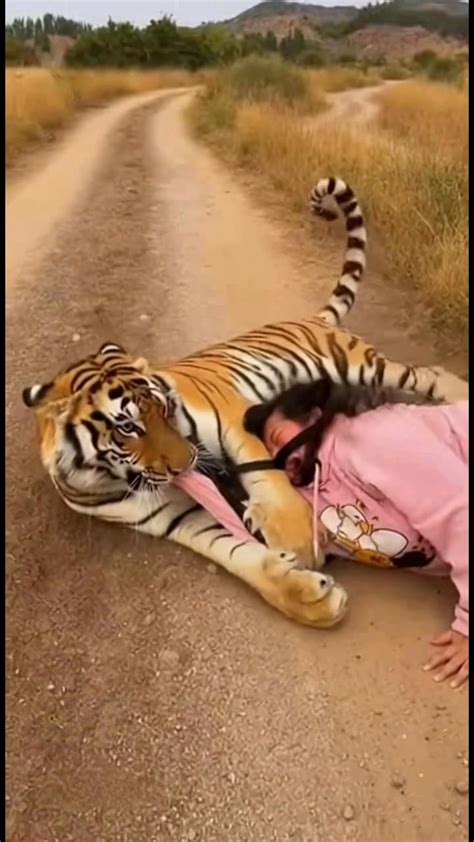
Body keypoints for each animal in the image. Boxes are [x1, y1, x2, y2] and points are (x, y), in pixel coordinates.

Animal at [22, 176, 468, 630]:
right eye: (127, 427)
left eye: (164, 408)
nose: (186, 463)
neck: (112, 476)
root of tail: (314, 317)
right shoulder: (174, 517)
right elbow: (237, 554)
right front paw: (310, 597)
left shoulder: (231, 414)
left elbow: (267, 475)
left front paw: (296, 537)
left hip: (361, 365)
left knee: (429, 374)